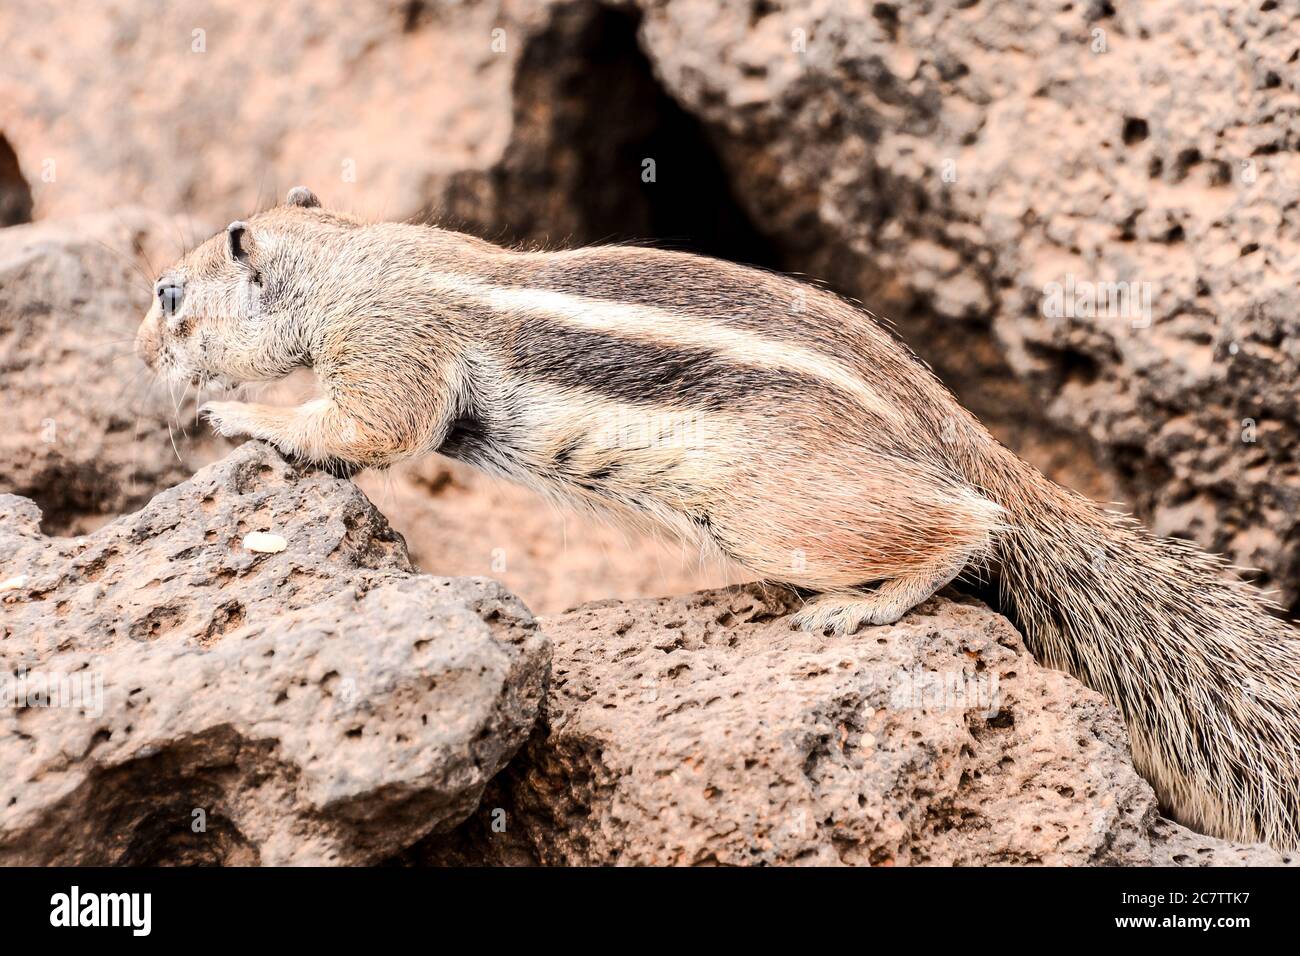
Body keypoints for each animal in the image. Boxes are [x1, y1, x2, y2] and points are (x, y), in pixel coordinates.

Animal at [136, 187, 1300, 850]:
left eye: (166, 295)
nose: (143, 358)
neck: (352, 258)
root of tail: (947, 422)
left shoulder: (390, 348)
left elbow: (368, 427)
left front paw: (243, 414)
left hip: (776, 502)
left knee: (961, 524)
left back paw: (862, 603)